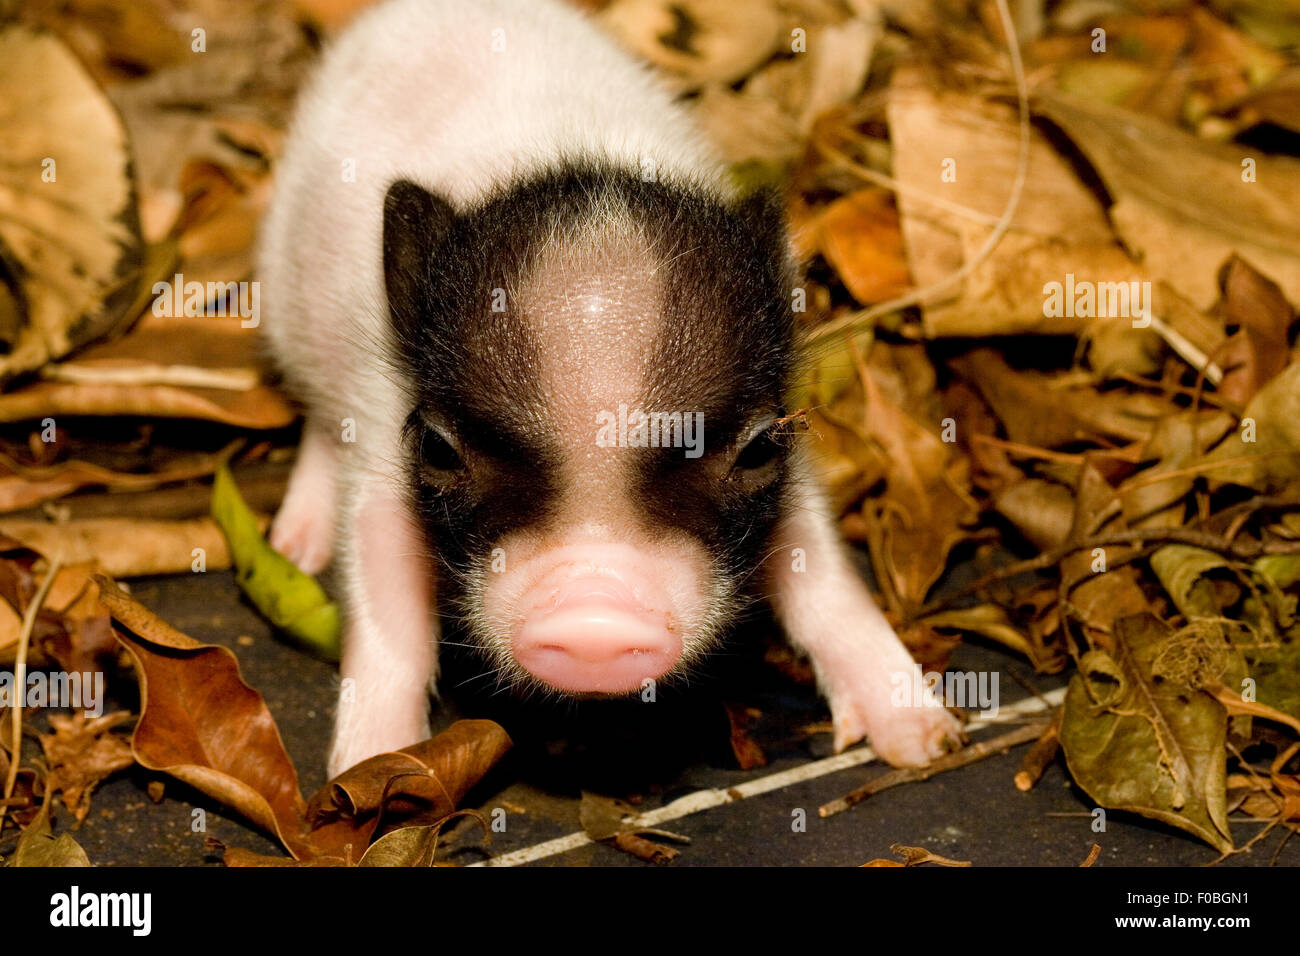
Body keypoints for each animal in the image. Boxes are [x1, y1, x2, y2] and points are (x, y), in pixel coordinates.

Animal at [257, 0, 962, 776]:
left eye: (753, 453)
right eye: (439, 450)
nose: (594, 622)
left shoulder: (789, 460)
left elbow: (823, 571)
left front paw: (924, 740)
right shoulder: (382, 436)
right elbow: (385, 596)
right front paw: (371, 772)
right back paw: (297, 545)